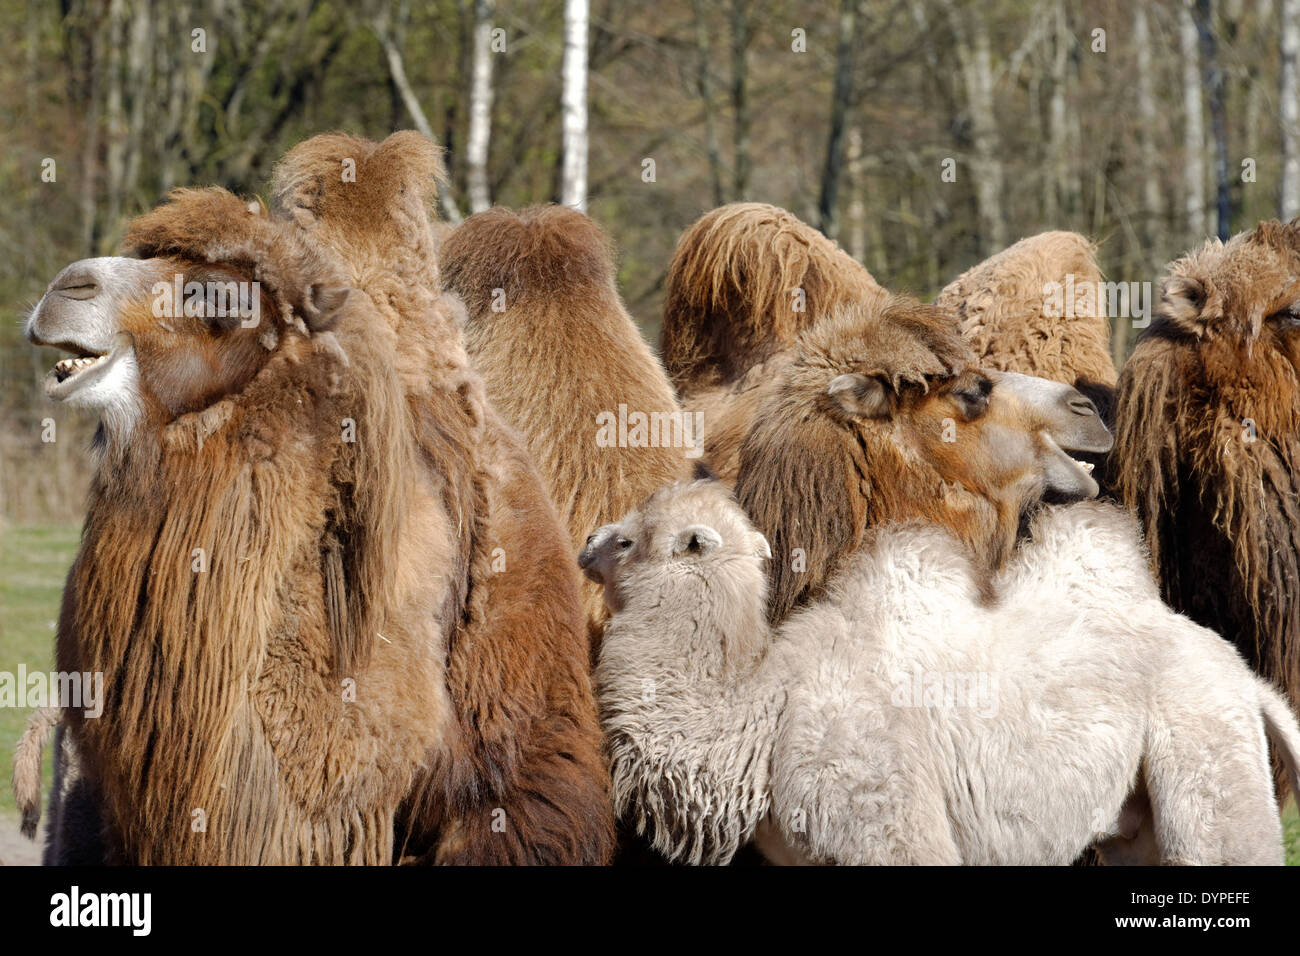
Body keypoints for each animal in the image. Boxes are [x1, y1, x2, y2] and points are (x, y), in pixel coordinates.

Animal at [583, 479, 1300, 865]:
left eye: (629, 540)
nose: (588, 542)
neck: (761, 716)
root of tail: (1244, 675)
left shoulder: (882, 814)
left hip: (1203, 743)